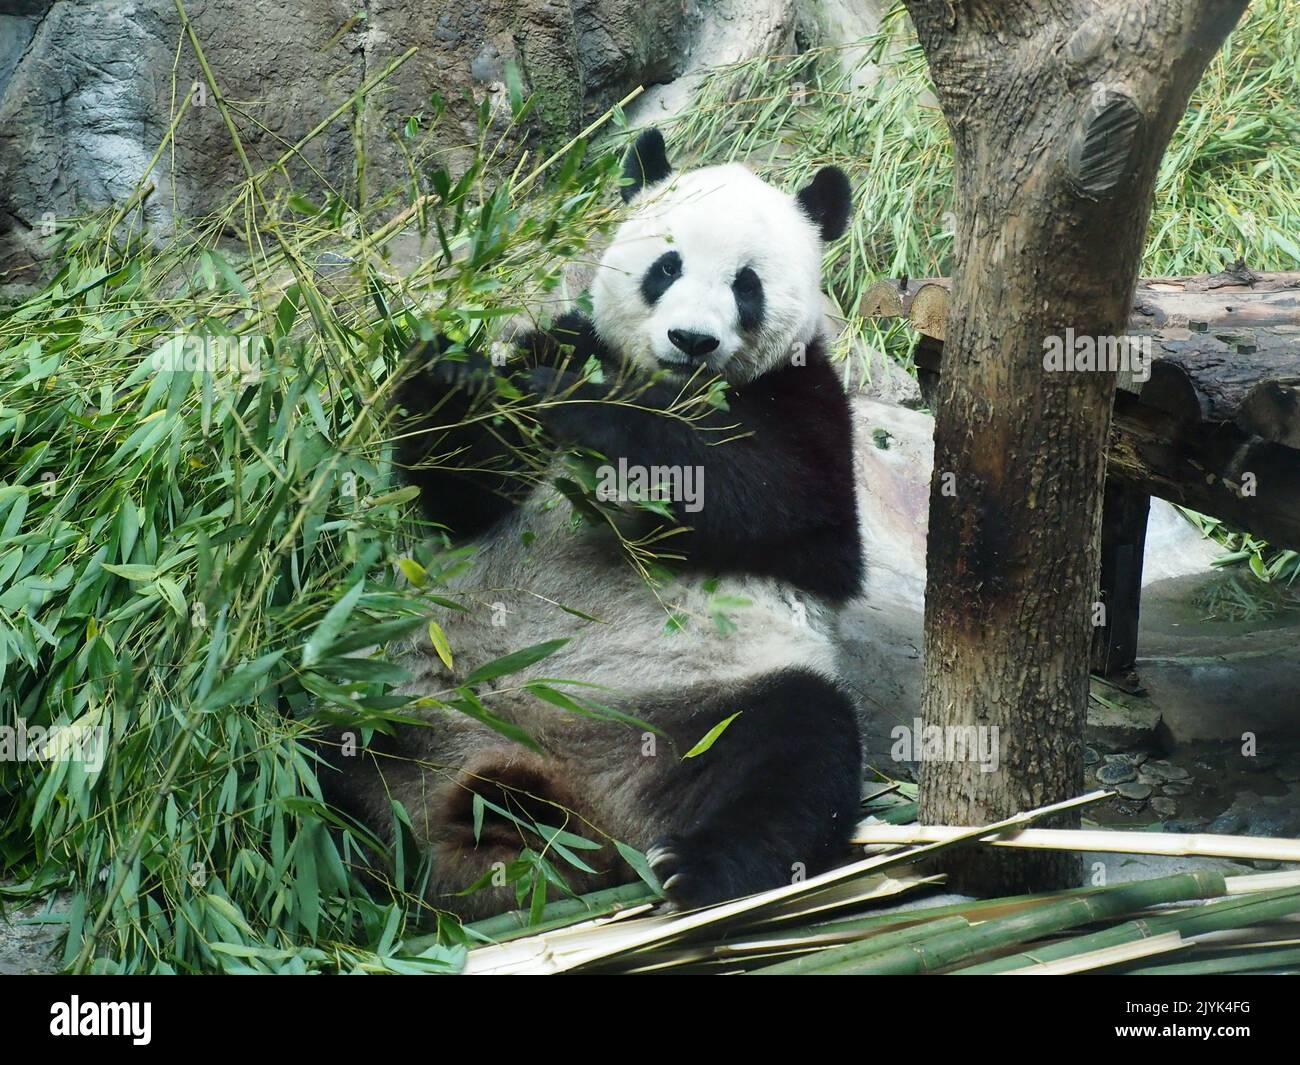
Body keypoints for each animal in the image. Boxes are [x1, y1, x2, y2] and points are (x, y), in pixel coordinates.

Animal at [321, 129, 866, 921]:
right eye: (667, 266)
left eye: (747, 285)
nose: (691, 341)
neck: (679, 390)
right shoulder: (565, 343)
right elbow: (466, 491)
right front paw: (449, 374)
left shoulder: (807, 397)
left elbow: (788, 504)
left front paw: (594, 412)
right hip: (398, 694)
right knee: (305, 752)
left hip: (695, 706)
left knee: (798, 750)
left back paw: (697, 868)